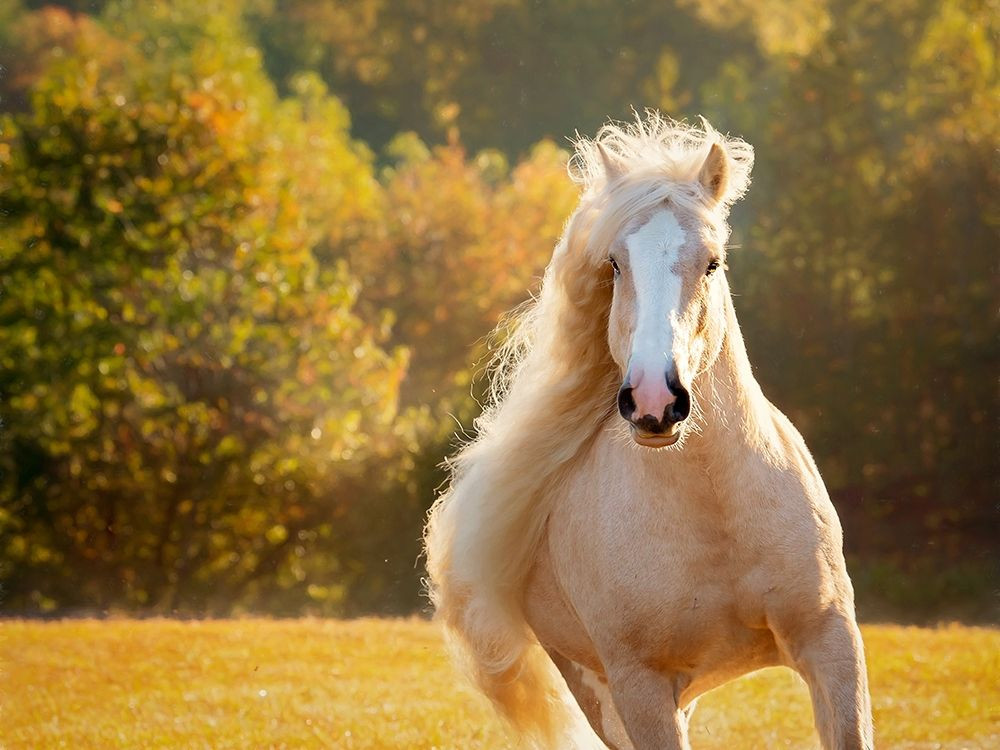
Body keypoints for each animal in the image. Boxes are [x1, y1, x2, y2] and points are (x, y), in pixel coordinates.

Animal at [424, 113, 873, 750]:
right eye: (615, 263)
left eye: (712, 262)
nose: (655, 401)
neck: (715, 514)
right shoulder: (640, 687)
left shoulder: (832, 644)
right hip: (602, 694)